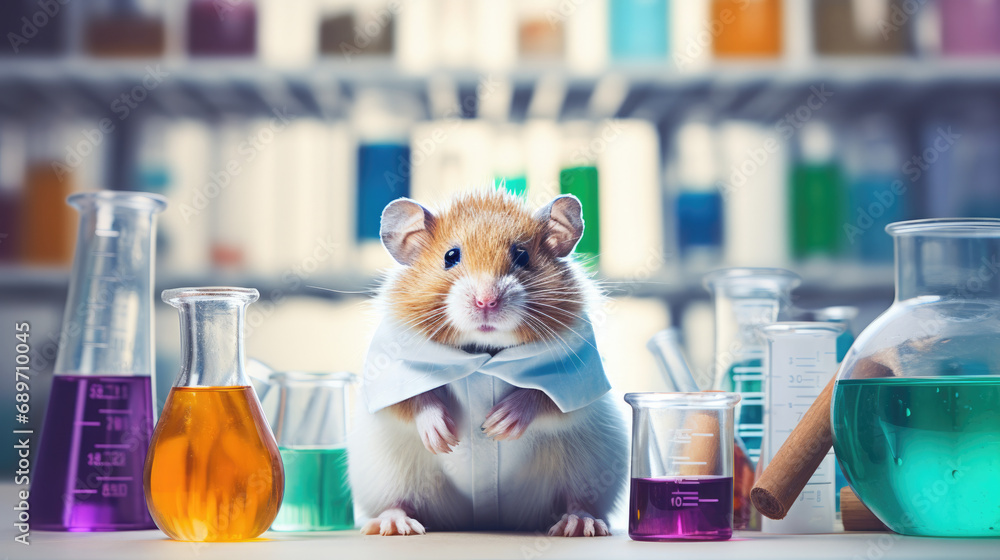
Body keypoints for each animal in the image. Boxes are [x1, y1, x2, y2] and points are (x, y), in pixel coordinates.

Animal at [347, 190, 628, 537]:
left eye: (522, 256)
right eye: (450, 256)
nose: (486, 301)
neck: (482, 352)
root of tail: (482, 519)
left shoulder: (573, 371)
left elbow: (543, 396)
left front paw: (498, 424)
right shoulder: (394, 368)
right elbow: (414, 399)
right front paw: (444, 437)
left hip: (586, 468)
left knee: (577, 500)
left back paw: (578, 523)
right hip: (388, 475)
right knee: (397, 501)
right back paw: (396, 524)